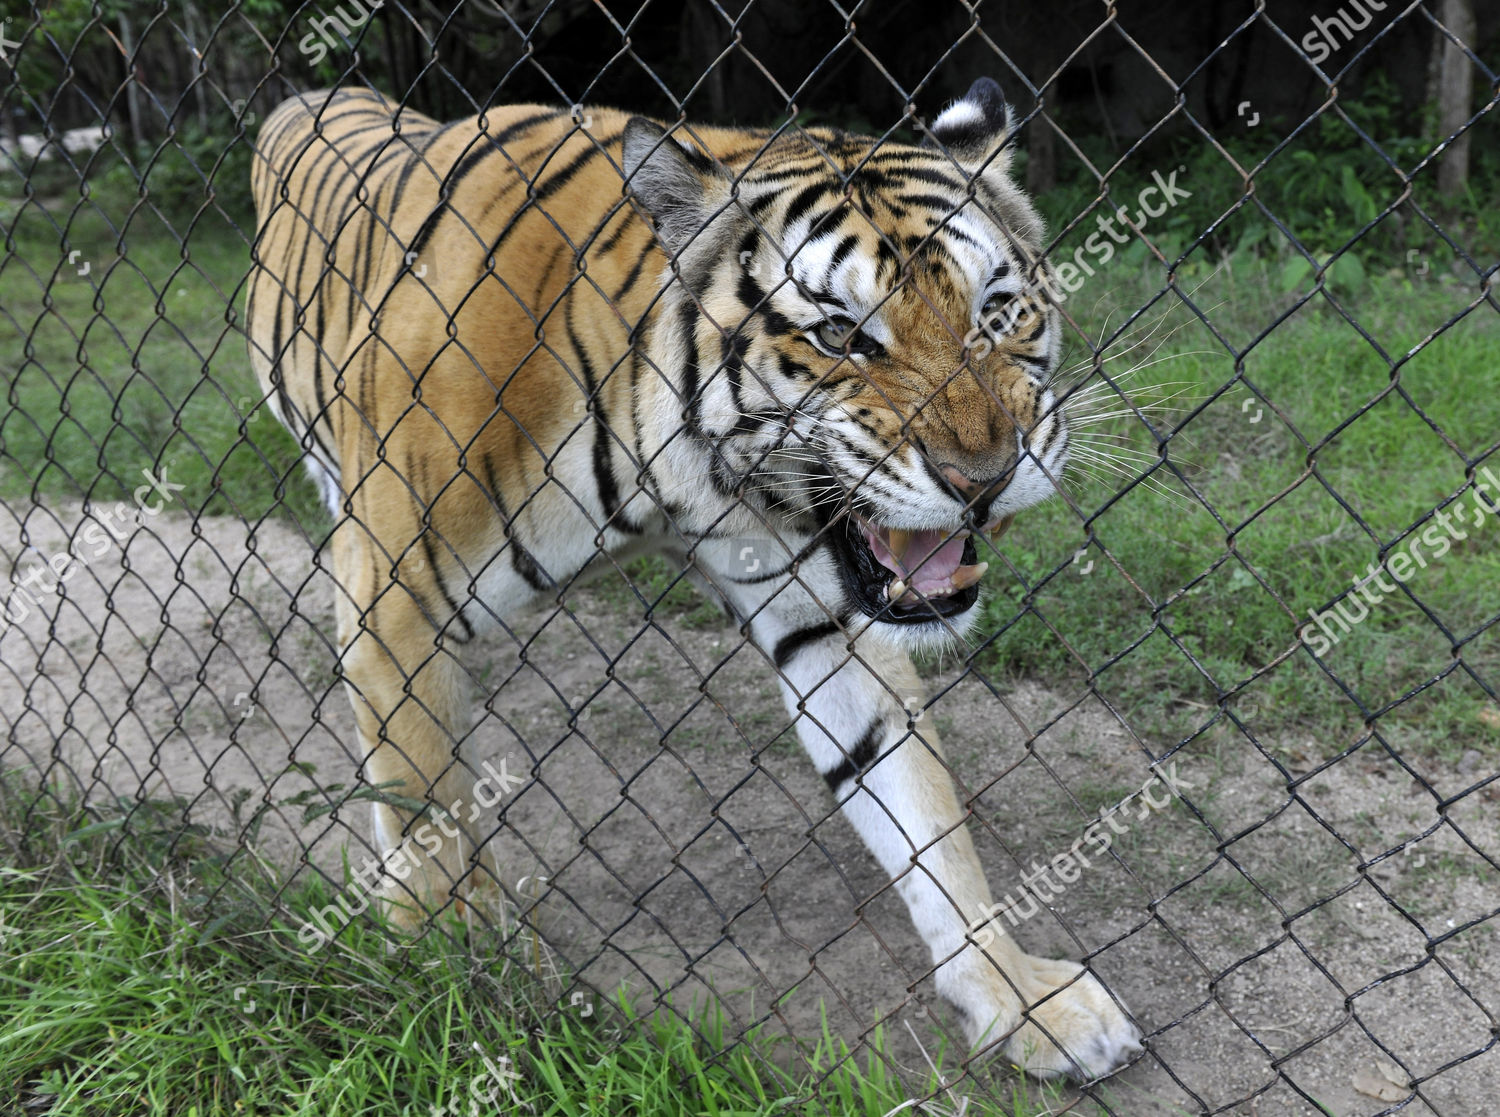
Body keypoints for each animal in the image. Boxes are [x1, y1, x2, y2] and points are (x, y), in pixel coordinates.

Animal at [245, 79, 1140, 1080]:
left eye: (998, 311)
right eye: (841, 334)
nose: (984, 478)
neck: (673, 468)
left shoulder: (816, 611)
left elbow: (916, 806)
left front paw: (1019, 993)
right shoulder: (393, 603)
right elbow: (426, 819)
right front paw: (449, 1002)